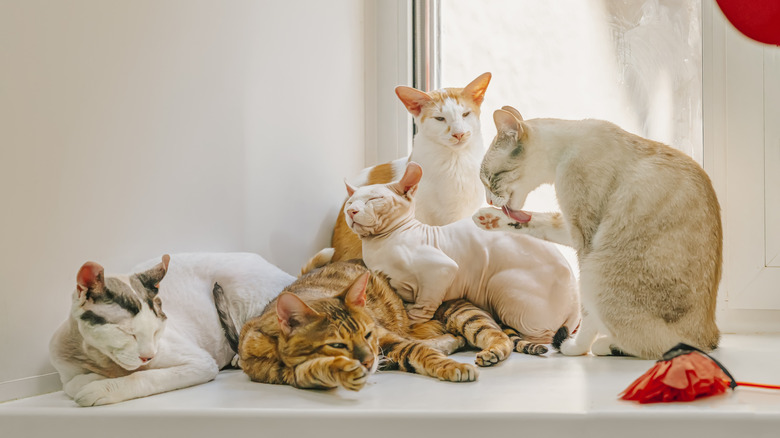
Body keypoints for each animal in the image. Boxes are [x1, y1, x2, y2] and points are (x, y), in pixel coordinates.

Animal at [49, 253, 292, 408]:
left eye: (157, 331)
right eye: (128, 333)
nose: (148, 357)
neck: (101, 360)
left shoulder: (200, 362)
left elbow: (143, 377)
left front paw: (101, 387)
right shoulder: (66, 371)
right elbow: (73, 384)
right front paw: (94, 379)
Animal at [215, 260, 516, 390]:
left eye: (367, 334)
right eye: (337, 344)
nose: (369, 360)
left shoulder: (386, 339)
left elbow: (420, 351)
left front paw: (453, 367)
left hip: (464, 316)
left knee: (497, 337)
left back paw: (490, 351)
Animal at [342, 161, 580, 356]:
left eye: (374, 199)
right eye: (350, 202)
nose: (352, 211)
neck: (378, 245)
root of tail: (576, 305)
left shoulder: (442, 269)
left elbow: (424, 306)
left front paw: (411, 319)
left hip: (499, 284)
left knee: (543, 336)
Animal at [472, 106, 724, 360]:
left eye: (490, 179)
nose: (487, 200)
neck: (564, 151)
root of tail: (710, 337)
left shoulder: (584, 238)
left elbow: (586, 316)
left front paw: (575, 347)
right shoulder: (571, 227)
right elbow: (536, 221)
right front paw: (488, 218)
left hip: (595, 272)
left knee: (657, 346)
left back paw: (603, 346)